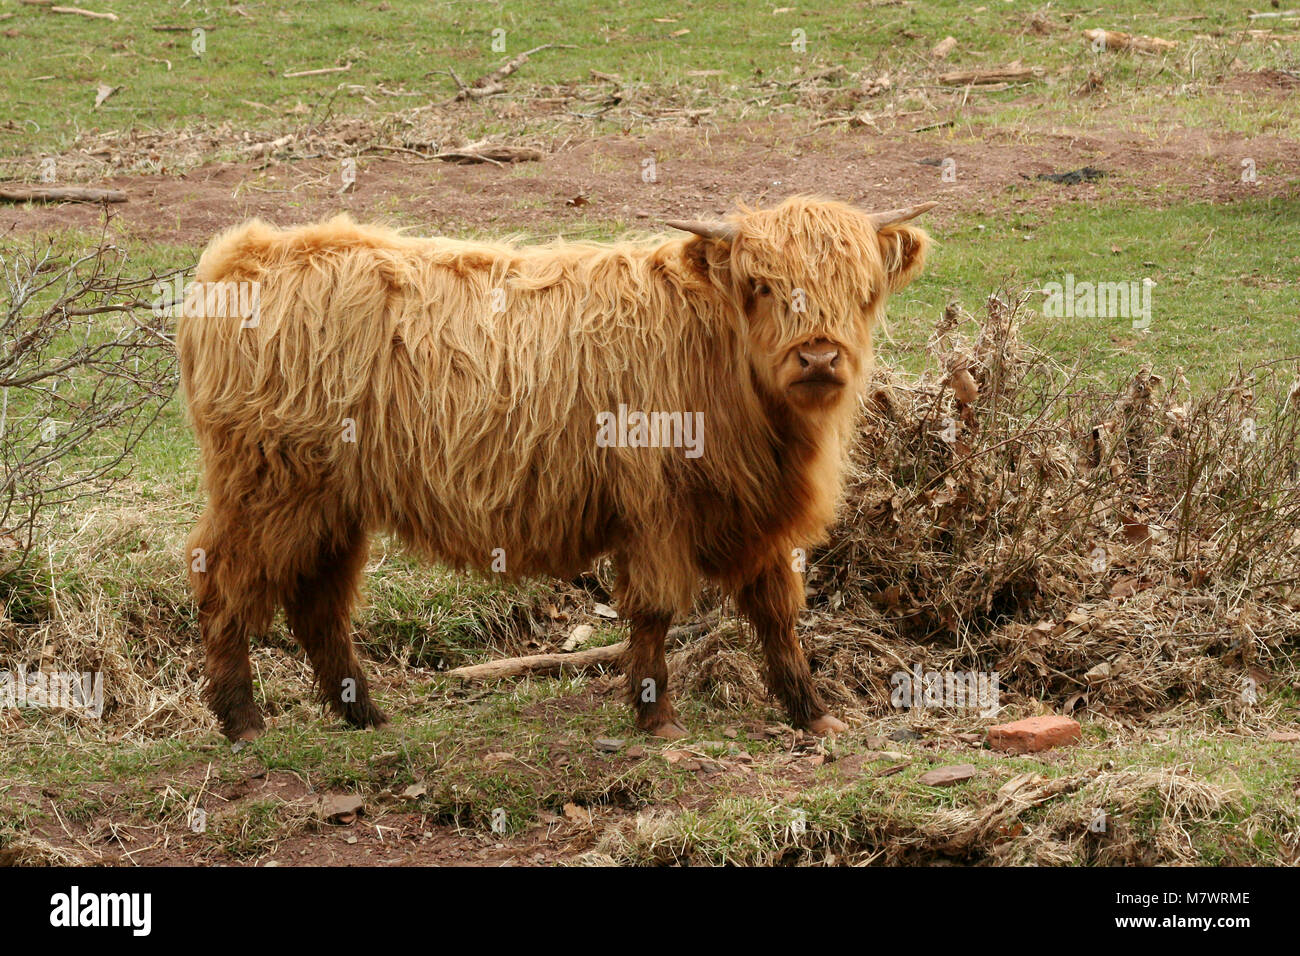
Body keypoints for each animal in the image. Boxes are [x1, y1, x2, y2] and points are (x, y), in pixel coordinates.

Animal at [177, 195, 934, 741]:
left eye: (863, 290)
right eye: (763, 286)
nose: (819, 356)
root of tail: (240, 255)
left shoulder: (759, 518)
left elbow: (778, 614)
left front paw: (813, 712)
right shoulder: (655, 509)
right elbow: (655, 610)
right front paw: (657, 718)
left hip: (333, 507)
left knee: (318, 606)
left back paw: (363, 714)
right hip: (268, 489)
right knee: (222, 584)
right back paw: (243, 722)